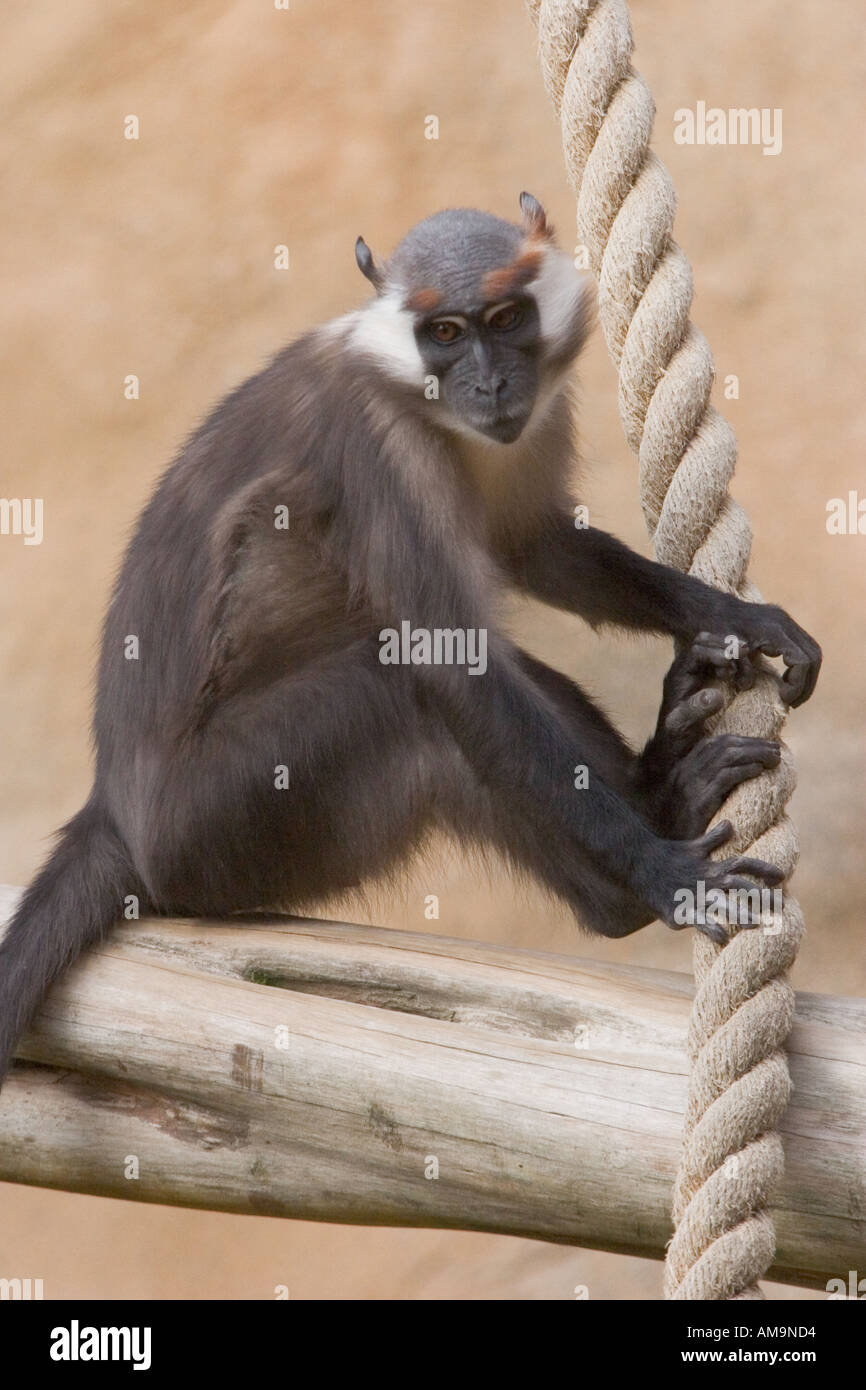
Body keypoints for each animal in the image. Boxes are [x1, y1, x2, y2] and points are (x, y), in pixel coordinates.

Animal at [0, 192, 821, 1086]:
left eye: (505, 318)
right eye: (447, 333)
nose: (490, 382)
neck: (429, 406)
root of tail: (112, 810)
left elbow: (537, 549)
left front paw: (741, 620)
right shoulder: (379, 452)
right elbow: (450, 665)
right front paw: (662, 875)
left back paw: (665, 781)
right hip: (216, 824)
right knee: (402, 693)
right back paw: (620, 890)